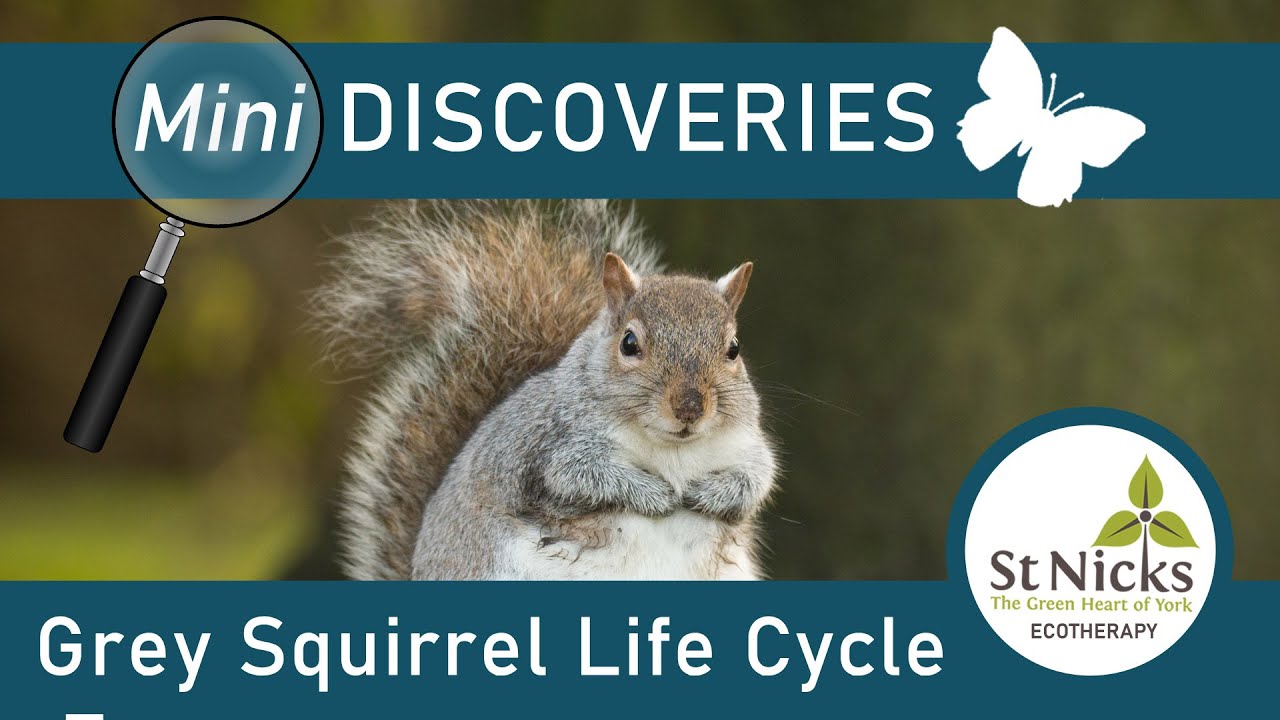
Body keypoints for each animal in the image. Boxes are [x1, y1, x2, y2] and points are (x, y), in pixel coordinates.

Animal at [313, 200, 777, 580]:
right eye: (629, 343)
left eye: (733, 348)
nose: (689, 407)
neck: (674, 451)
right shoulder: (550, 448)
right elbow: (583, 477)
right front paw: (652, 494)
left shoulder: (747, 447)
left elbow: (755, 481)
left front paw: (711, 493)